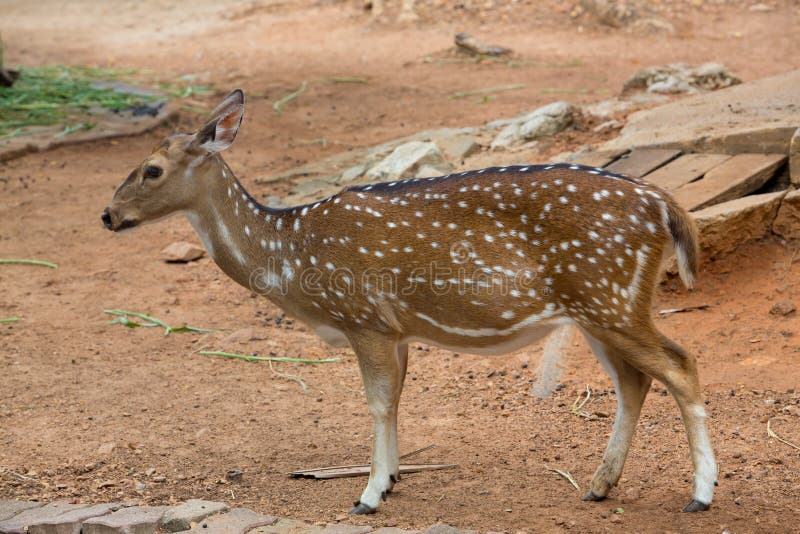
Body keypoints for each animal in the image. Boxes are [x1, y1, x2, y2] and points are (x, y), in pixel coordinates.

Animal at [101, 90, 717, 514]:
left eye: (151, 169)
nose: (107, 215)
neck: (289, 256)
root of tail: (664, 204)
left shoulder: (364, 317)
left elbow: (376, 402)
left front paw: (368, 495)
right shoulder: (395, 329)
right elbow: (395, 399)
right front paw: (392, 479)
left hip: (610, 297)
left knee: (681, 364)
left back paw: (701, 493)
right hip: (600, 307)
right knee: (634, 381)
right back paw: (598, 485)